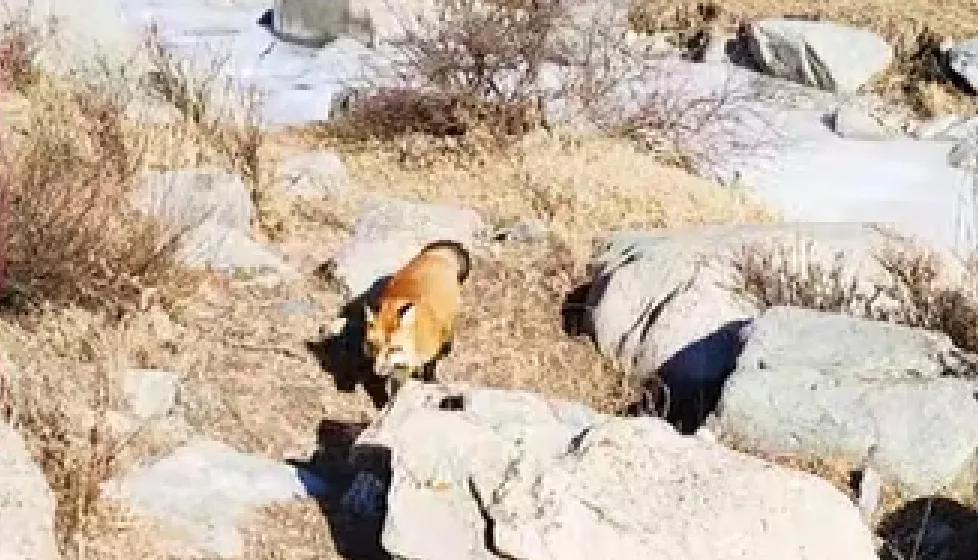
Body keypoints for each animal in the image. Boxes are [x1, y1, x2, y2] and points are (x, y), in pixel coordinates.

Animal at [362, 240, 471, 397]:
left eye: (394, 349)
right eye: (374, 346)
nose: (378, 371)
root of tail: (435, 257)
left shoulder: (429, 353)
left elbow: (430, 368)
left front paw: (430, 381)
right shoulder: (399, 366)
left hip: (449, 322)